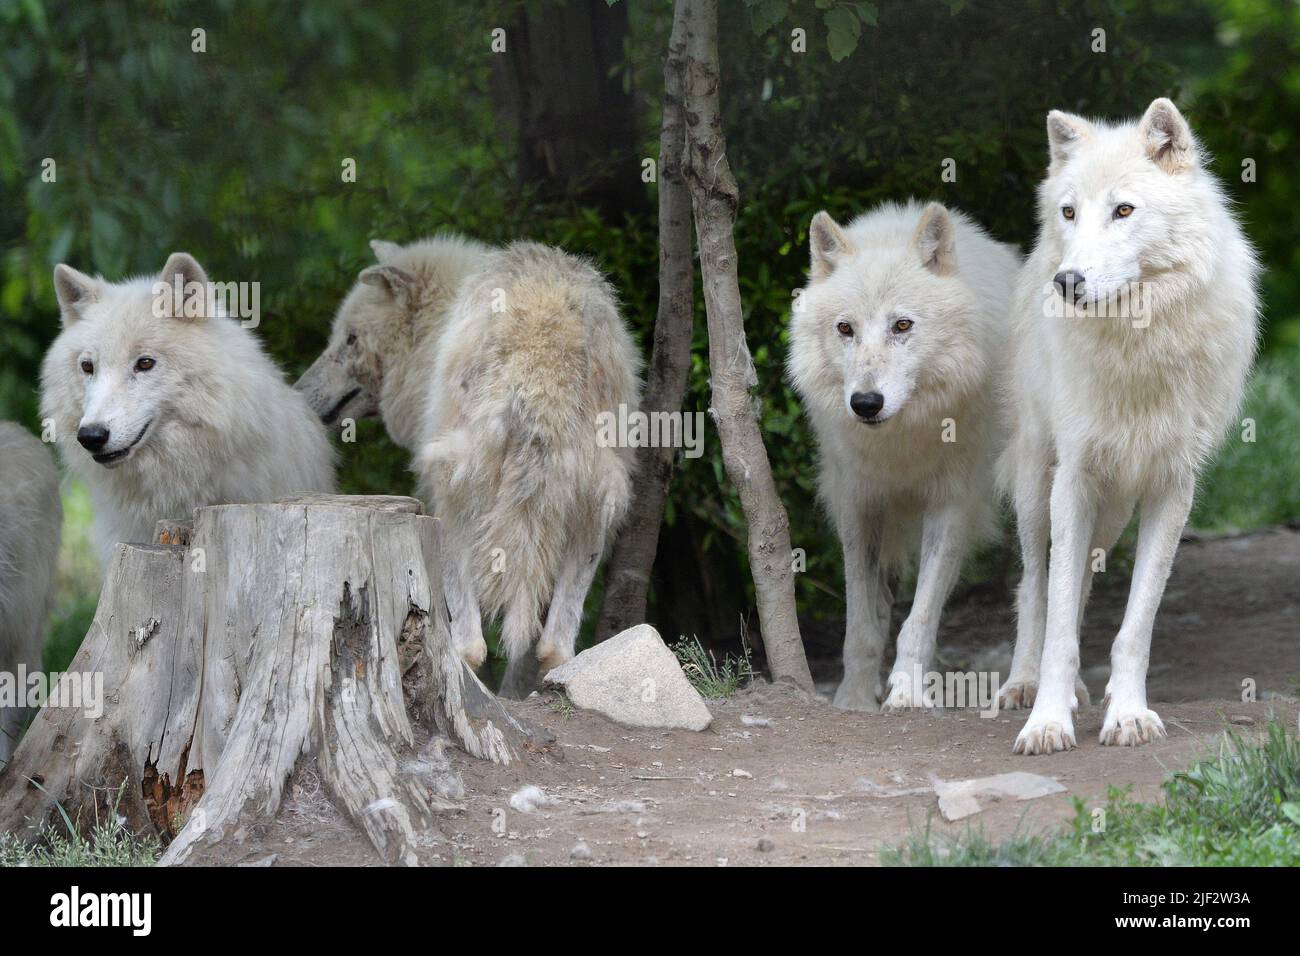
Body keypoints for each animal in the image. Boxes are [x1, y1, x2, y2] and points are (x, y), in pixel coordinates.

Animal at [788, 201, 1020, 710]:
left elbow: (920, 617)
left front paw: (909, 693)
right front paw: (855, 698)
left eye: (902, 326)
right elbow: (861, 623)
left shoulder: (952, 504)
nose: (865, 403)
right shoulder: (858, 505)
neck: (902, 441)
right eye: (845, 329)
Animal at [998, 99, 1258, 754]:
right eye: (1070, 212)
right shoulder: (1074, 477)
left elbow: (1136, 623)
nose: (1068, 282)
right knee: (1034, 586)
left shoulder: (1172, 485)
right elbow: (1057, 617)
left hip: (1111, 511)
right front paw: (1048, 721)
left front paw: (1129, 715)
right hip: (1038, 484)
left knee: (1077, 582)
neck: (1137, 345)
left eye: (1123, 210)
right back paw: (1023, 684)